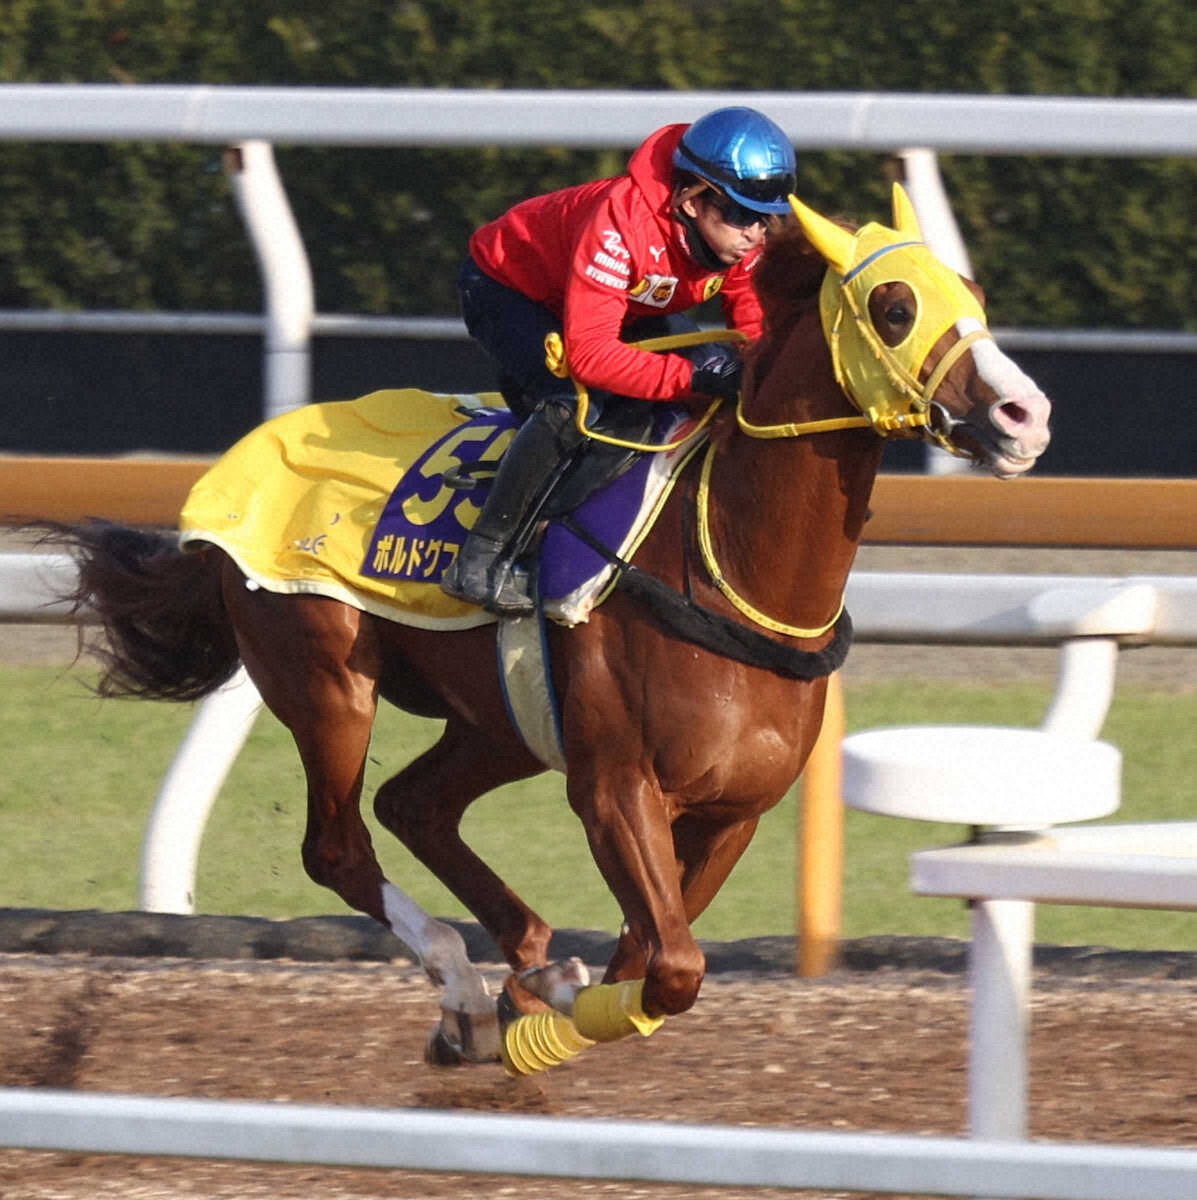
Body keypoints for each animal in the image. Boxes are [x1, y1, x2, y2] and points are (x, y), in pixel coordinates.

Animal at [45, 185, 1051, 1074]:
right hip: (327, 680)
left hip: (501, 719)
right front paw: (546, 1015)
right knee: (338, 844)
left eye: (973, 293)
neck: (728, 563)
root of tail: (233, 474)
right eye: (893, 306)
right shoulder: (615, 786)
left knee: (413, 804)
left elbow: (651, 960)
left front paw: (546, 1005)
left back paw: (519, 960)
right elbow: (671, 968)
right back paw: (465, 986)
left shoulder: (733, 813)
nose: (1024, 415)